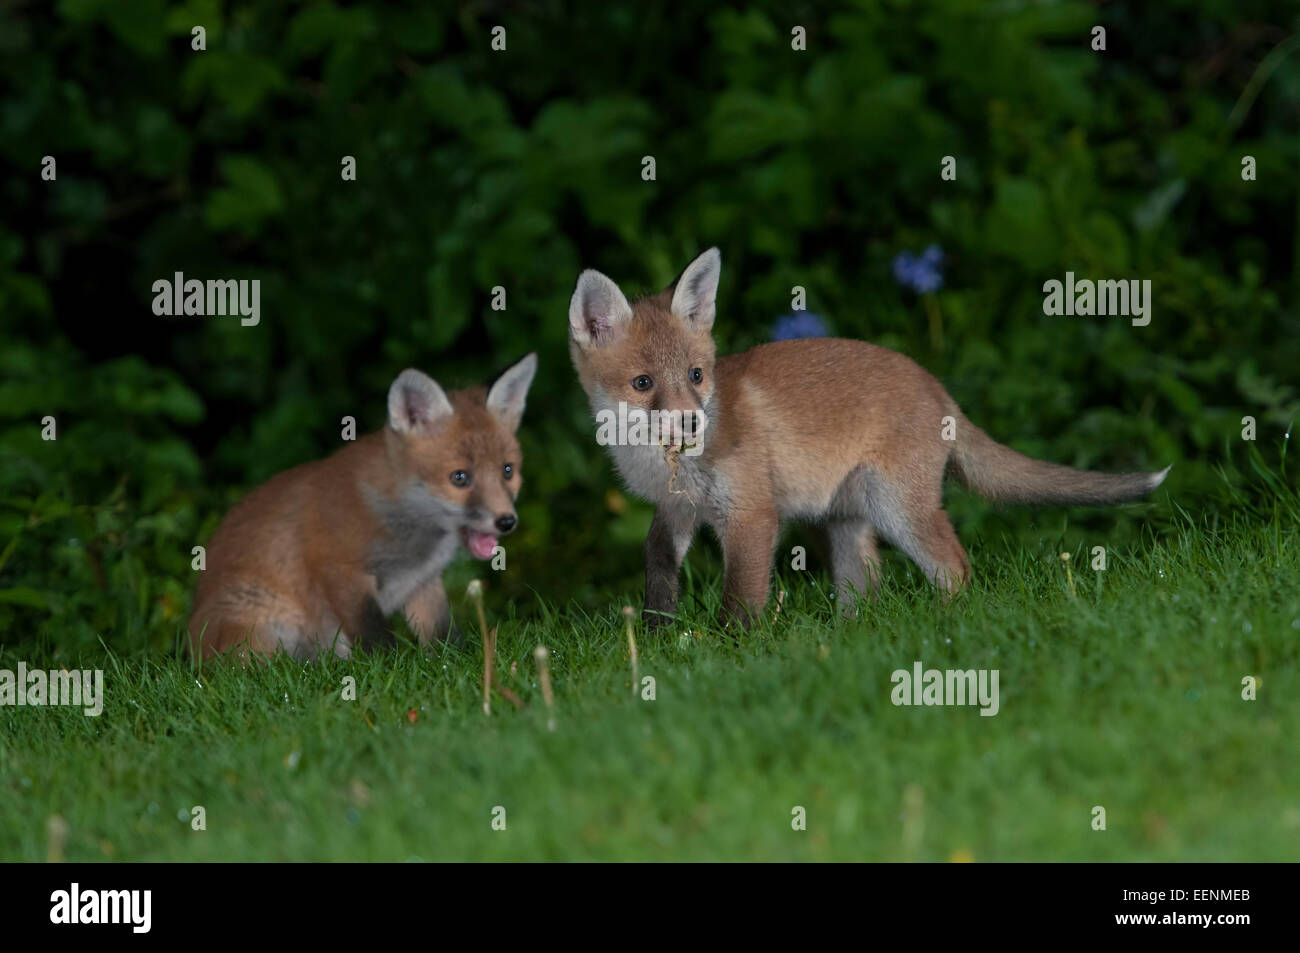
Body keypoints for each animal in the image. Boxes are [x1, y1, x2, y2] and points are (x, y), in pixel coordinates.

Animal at [188, 354, 537, 660]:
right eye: (460, 478)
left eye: (508, 471)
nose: (506, 521)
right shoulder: (342, 572)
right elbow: (375, 636)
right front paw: (390, 669)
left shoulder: (423, 581)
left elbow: (443, 634)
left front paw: (457, 663)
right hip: (264, 624)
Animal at [567, 248, 1169, 628]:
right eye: (643, 384)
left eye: (696, 375)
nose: (692, 423)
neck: (666, 463)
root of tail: (936, 385)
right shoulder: (677, 509)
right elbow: (657, 568)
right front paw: (656, 636)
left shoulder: (751, 513)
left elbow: (741, 599)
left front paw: (733, 651)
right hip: (845, 523)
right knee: (867, 593)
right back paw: (851, 640)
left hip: (896, 506)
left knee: (955, 568)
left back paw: (944, 626)